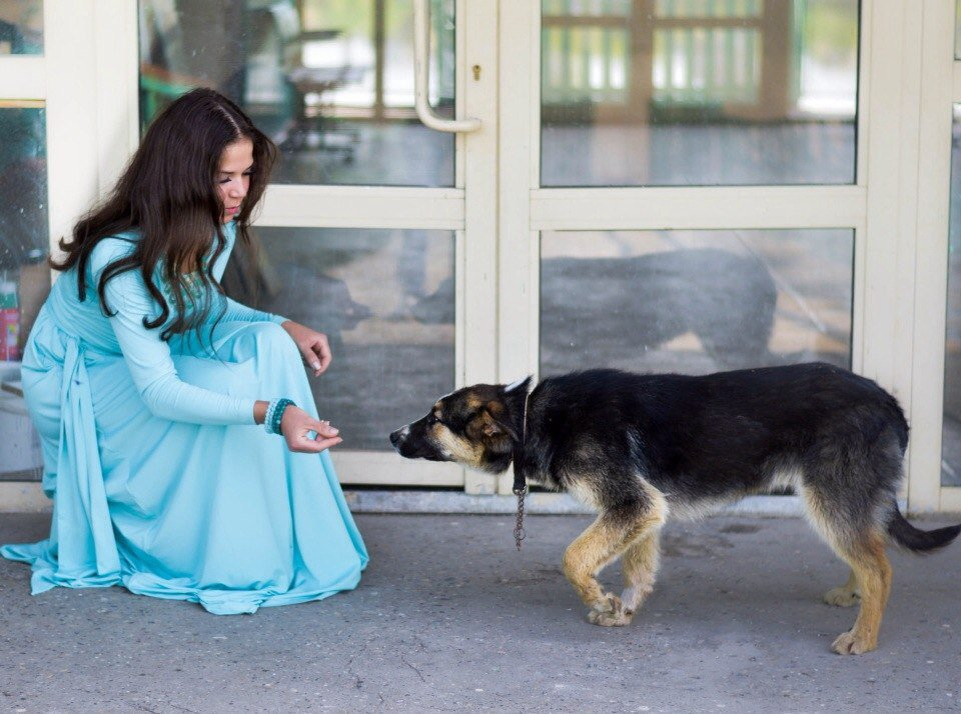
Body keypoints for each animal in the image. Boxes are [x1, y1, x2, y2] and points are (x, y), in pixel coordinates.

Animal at [390, 364, 960, 652]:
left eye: (435, 419)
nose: (393, 436)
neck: (530, 415)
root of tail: (890, 403)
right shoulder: (644, 512)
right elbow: (636, 569)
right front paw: (620, 609)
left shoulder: (631, 503)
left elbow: (574, 559)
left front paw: (597, 597)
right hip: (836, 501)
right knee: (868, 548)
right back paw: (852, 592)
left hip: (829, 498)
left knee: (881, 566)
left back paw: (863, 636)